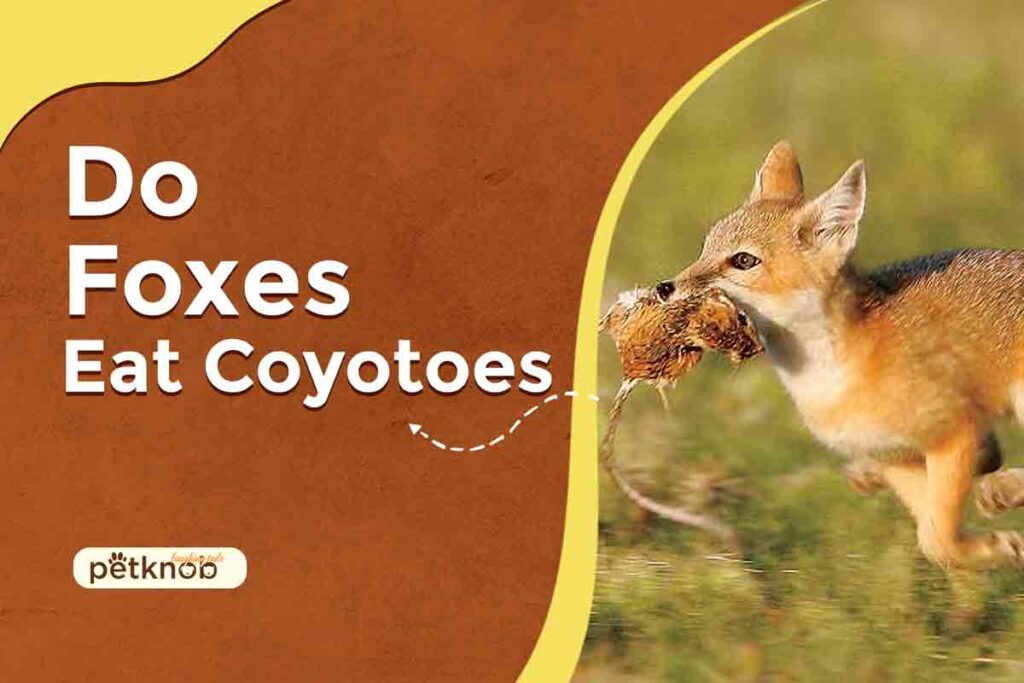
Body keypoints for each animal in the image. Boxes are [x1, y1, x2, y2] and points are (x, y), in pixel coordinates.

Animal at [657, 140, 1024, 568]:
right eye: (705, 248)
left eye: (743, 261)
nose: (664, 288)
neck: (829, 381)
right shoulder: (890, 454)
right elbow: (929, 535)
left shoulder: (954, 433)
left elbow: (939, 540)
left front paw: (995, 547)